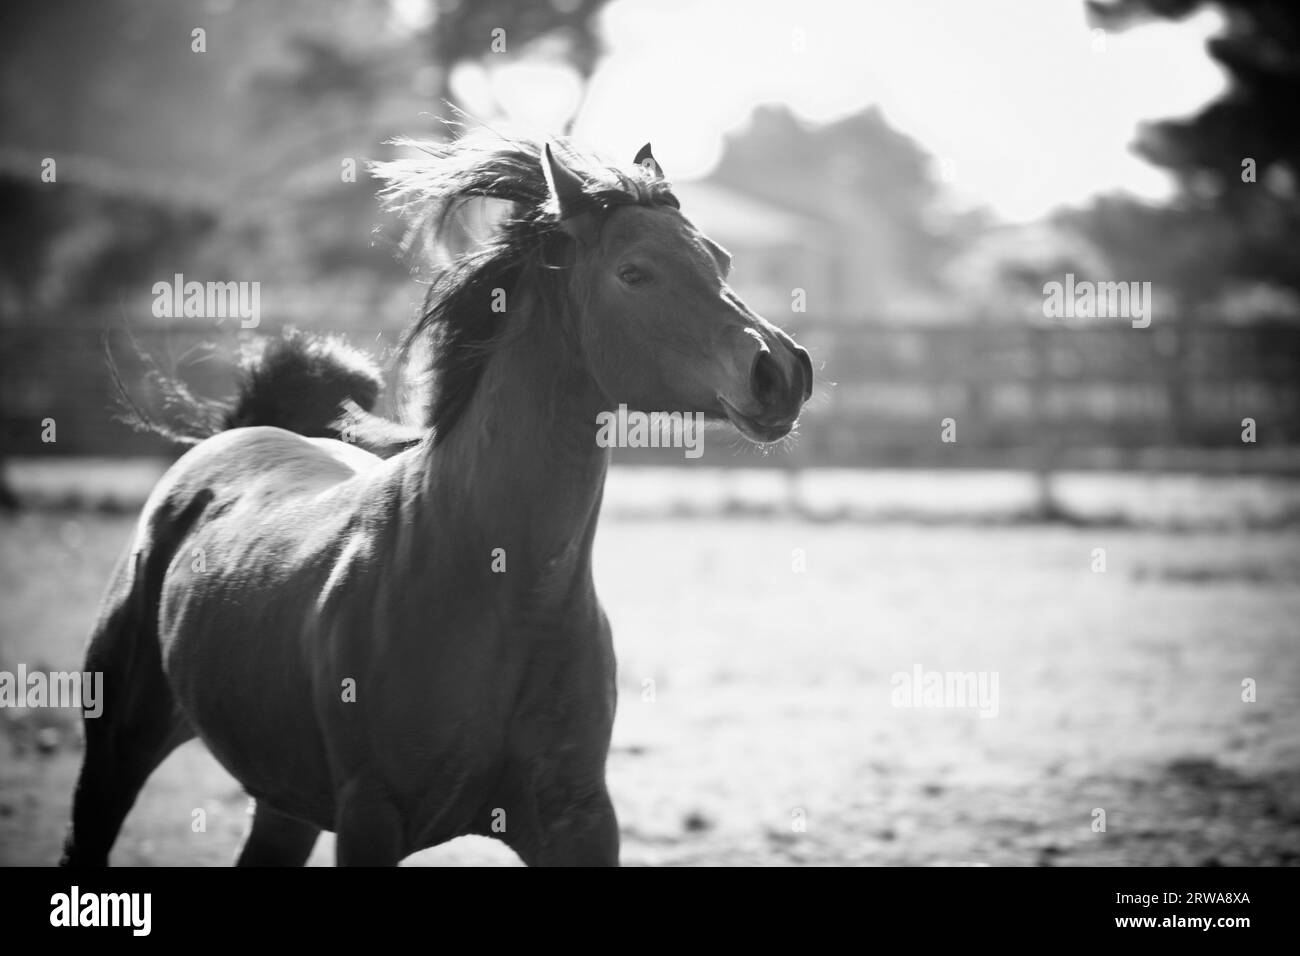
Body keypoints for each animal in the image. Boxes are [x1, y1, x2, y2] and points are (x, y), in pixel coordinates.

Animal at [60, 134, 813, 866]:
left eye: (719, 258)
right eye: (634, 272)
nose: (781, 370)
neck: (495, 581)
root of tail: (239, 432)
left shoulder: (580, 821)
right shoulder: (370, 817)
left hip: (283, 799)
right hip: (119, 747)